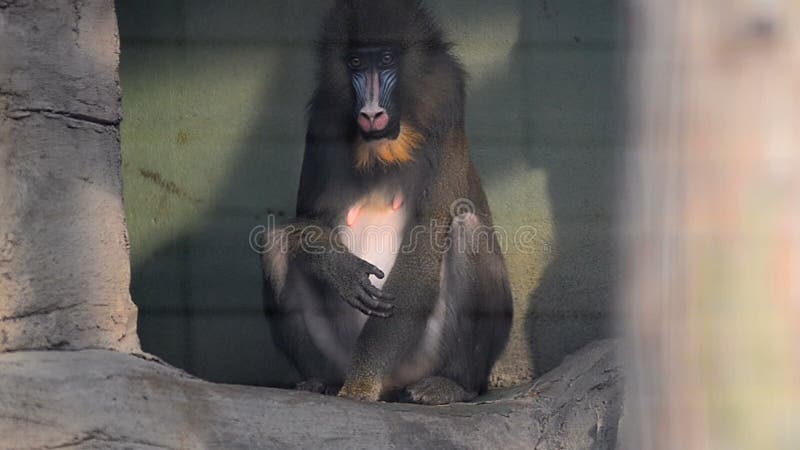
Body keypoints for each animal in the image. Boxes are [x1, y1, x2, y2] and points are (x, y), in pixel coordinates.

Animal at [260, 0, 513, 405]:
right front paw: (336, 265)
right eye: (356, 63)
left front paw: (361, 385)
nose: (370, 112)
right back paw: (320, 381)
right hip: (338, 350)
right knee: (276, 242)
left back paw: (451, 384)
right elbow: (309, 219)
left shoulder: (446, 122)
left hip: (425, 356)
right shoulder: (322, 121)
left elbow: (423, 250)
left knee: (466, 226)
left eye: (388, 58)